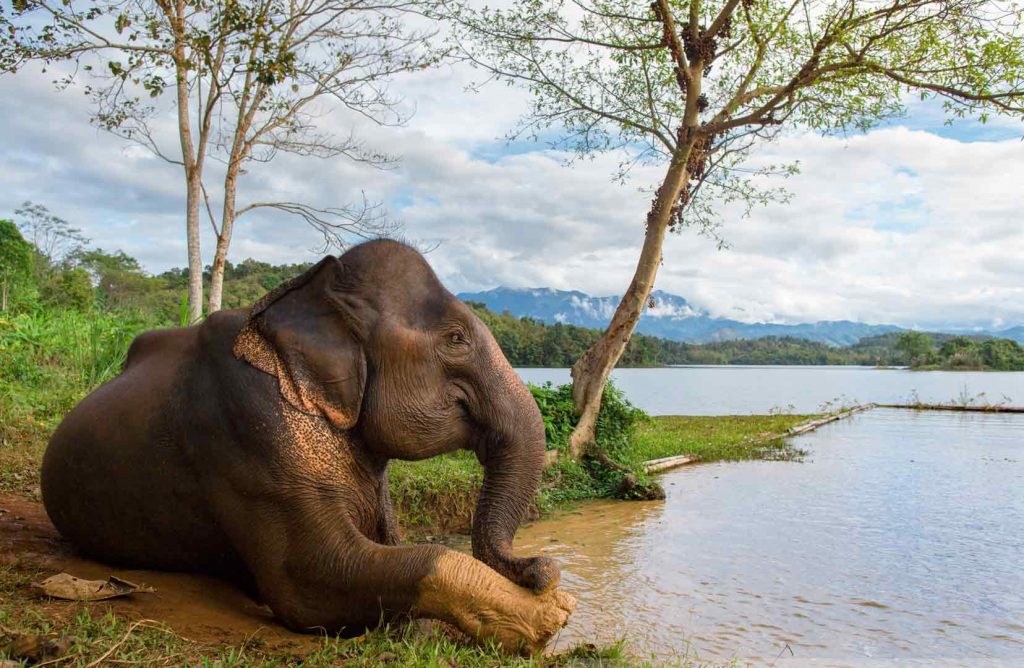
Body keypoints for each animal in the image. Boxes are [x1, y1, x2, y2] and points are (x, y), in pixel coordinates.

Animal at [41, 239, 574, 653]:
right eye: (457, 338)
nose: (539, 567)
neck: (307, 290)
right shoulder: (250, 427)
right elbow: (312, 579)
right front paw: (550, 614)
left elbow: (387, 545)